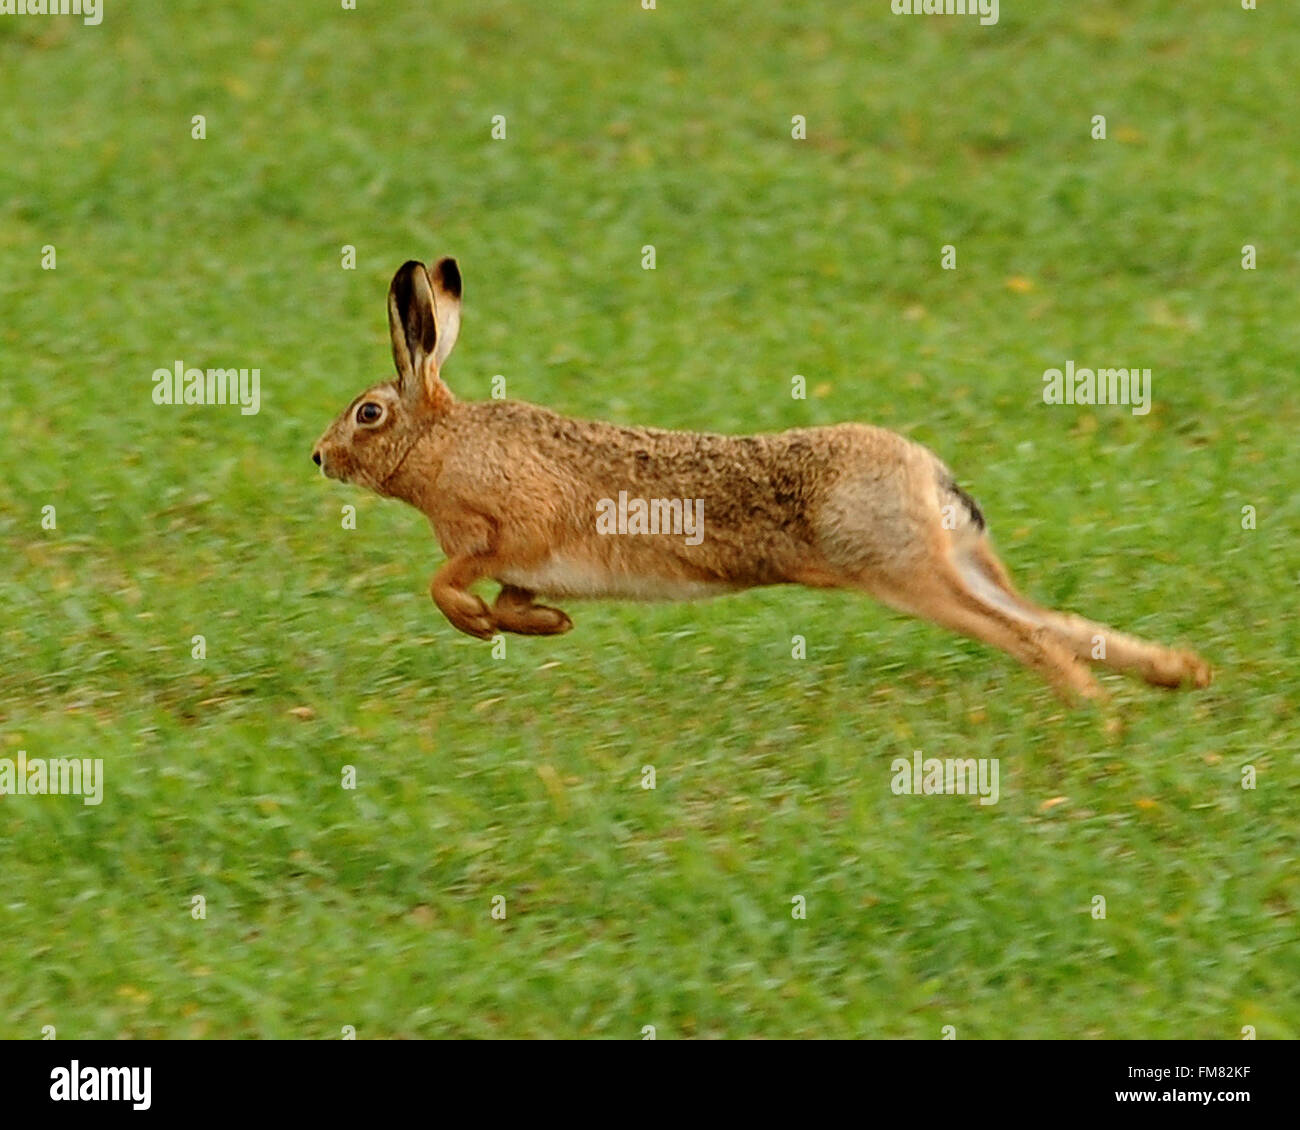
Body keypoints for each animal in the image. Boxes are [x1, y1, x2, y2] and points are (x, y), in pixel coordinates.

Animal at [312, 258, 1212, 702]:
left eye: (367, 414)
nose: (319, 456)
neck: (439, 443)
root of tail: (928, 475)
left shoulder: (507, 530)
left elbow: (447, 581)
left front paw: (478, 624)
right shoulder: (523, 566)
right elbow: (512, 600)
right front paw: (545, 627)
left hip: (903, 571)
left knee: (1025, 636)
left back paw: (1092, 710)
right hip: (949, 562)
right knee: (1051, 619)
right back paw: (1177, 675)